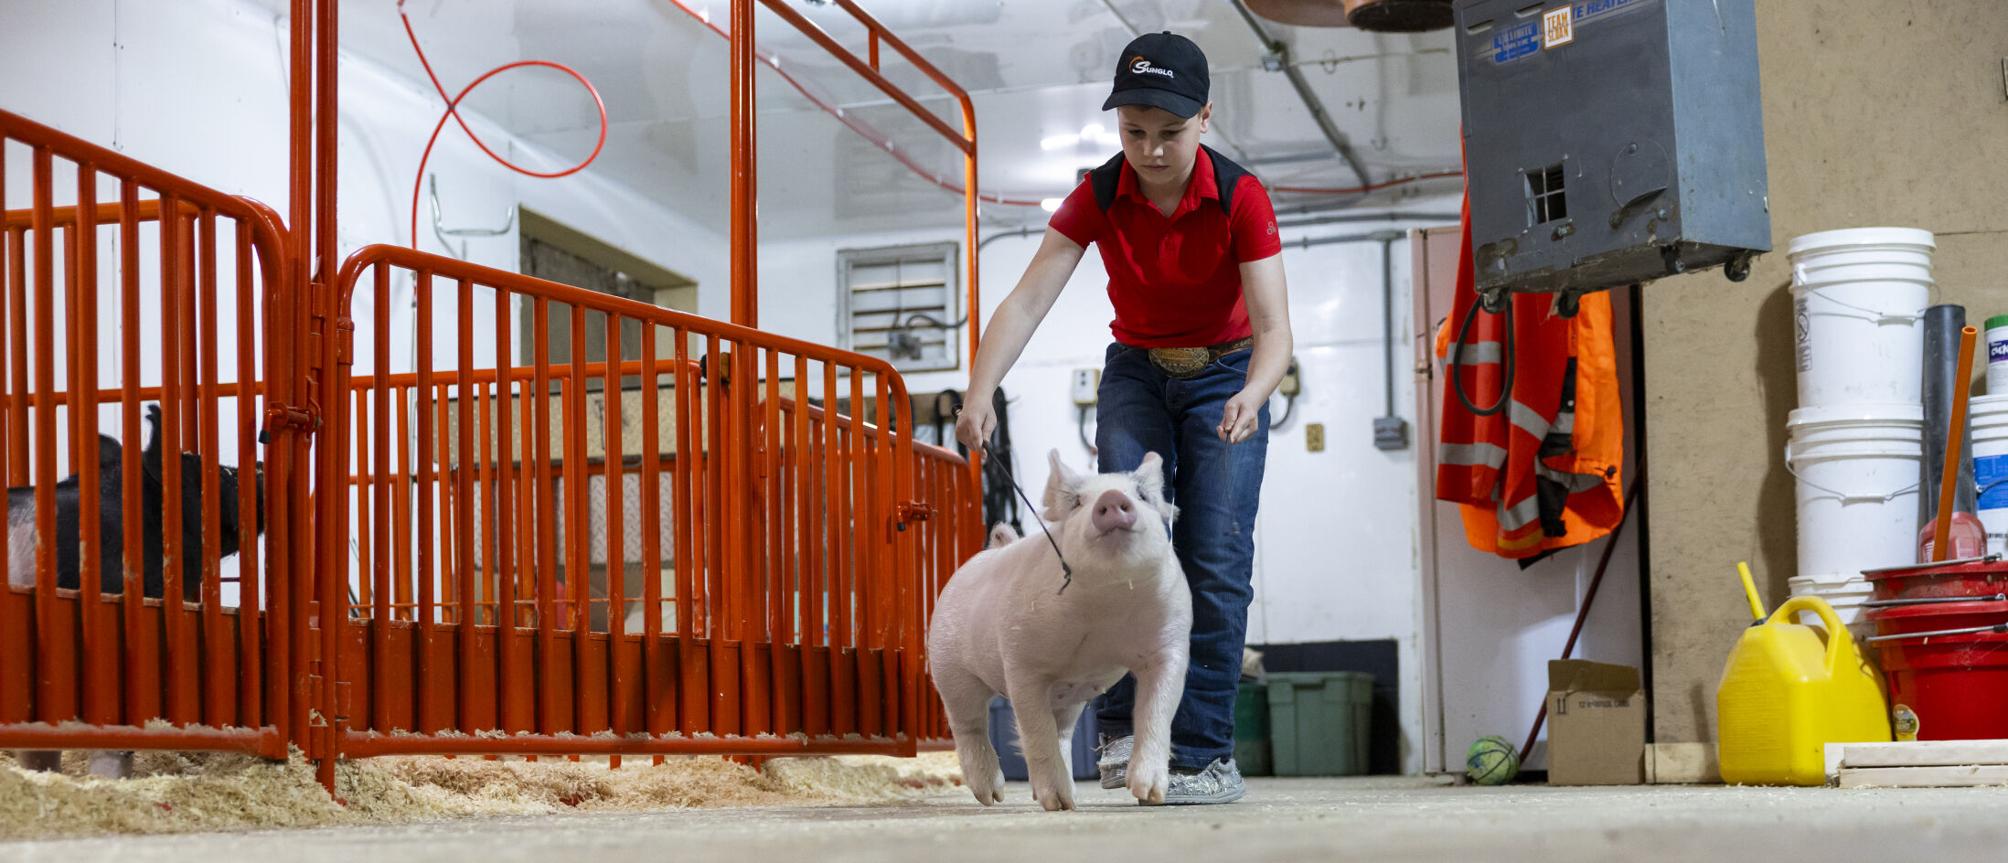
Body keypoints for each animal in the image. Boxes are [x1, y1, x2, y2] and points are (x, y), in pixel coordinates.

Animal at [926, 450, 1191, 810]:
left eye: (1142, 495)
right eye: (1077, 502)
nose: (1112, 497)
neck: (1108, 602)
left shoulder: (1170, 644)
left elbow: (1157, 711)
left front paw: (1150, 795)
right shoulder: (1022, 661)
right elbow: (1036, 732)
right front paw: (1056, 804)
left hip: (1070, 696)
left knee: (1062, 732)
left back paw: (1073, 797)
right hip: (949, 667)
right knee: (969, 725)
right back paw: (995, 797)